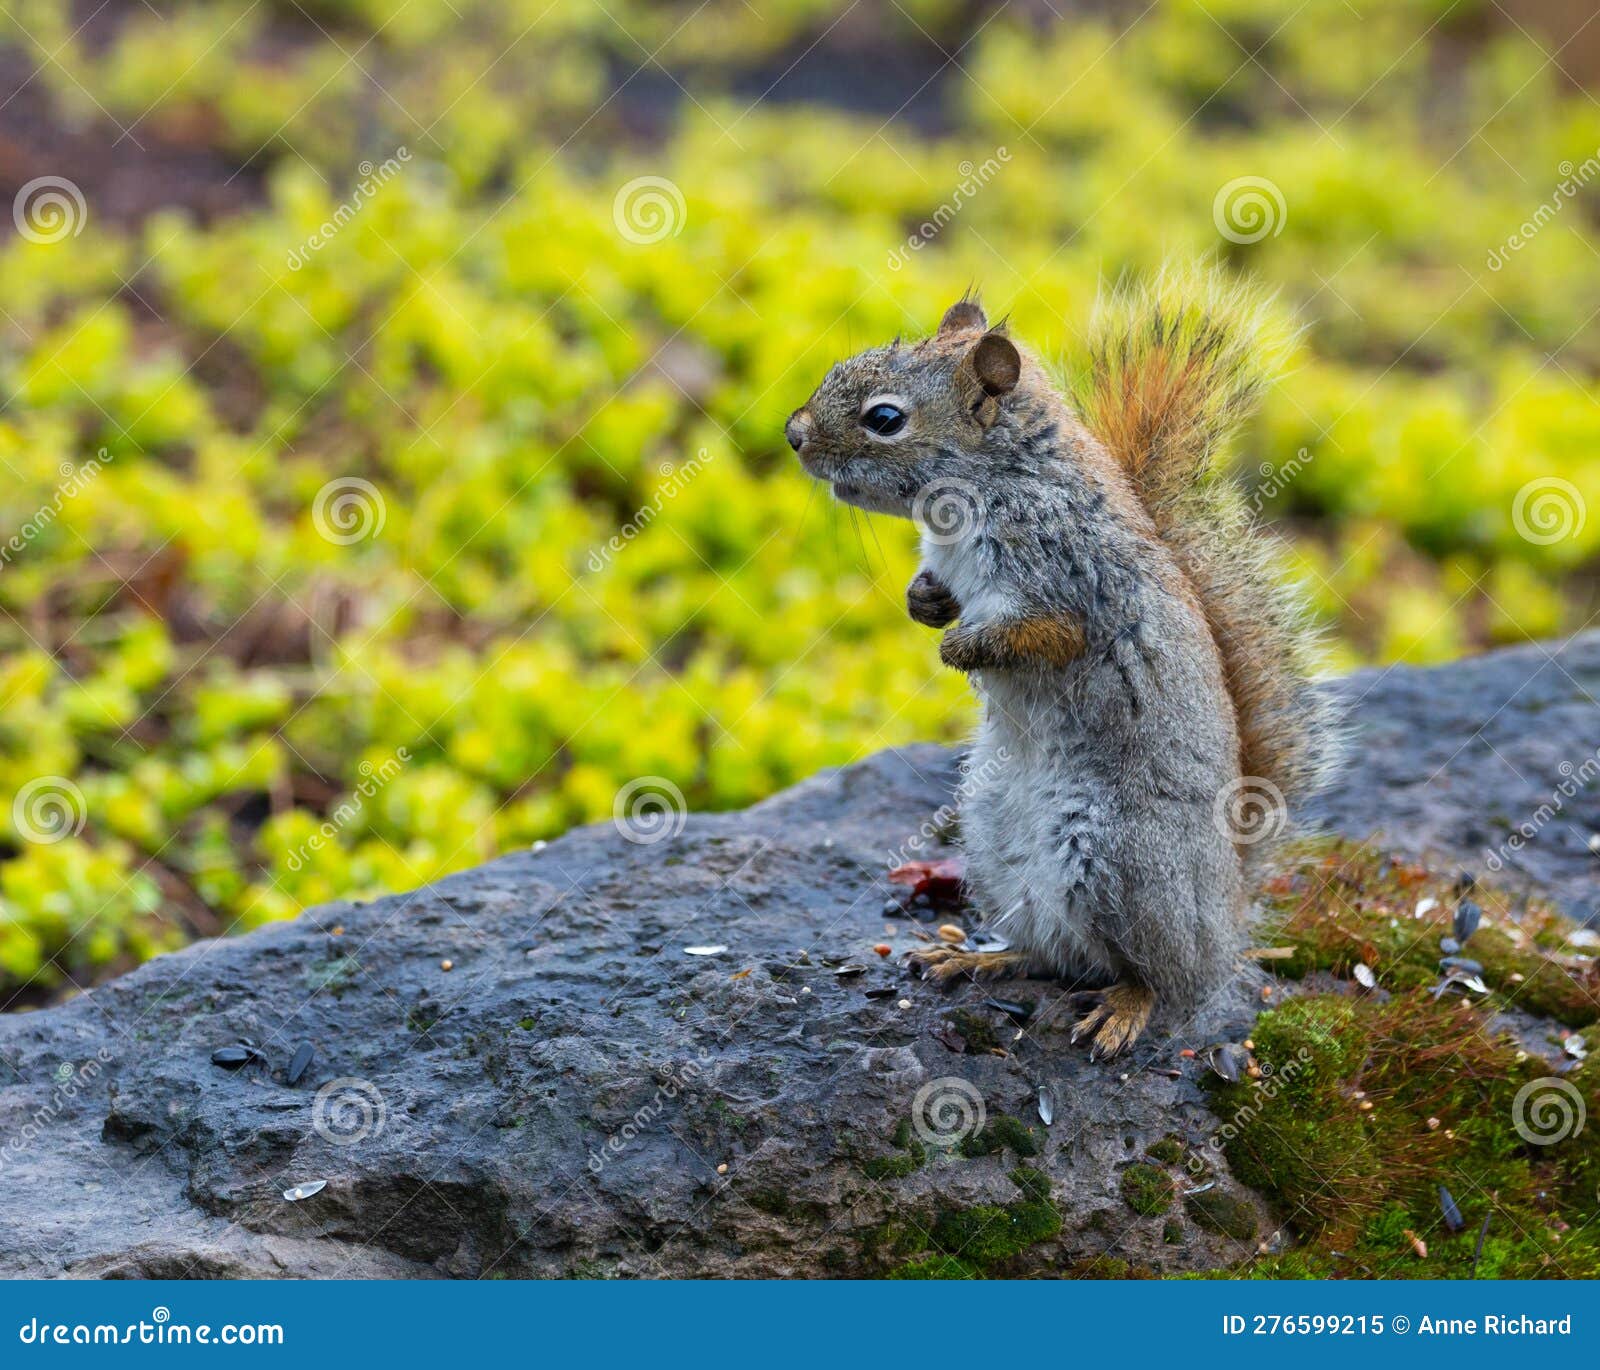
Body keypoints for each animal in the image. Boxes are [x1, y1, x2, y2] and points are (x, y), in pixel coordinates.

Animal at [786, 265, 1339, 1058]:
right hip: (992, 842)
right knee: (1058, 952)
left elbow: (1046, 636)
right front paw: (927, 604)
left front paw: (963, 648)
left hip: (1117, 858)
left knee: (1150, 973)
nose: (793, 434)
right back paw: (981, 957)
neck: (992, 484)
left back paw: (1126, 1008)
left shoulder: (1074, 584)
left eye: (884, 418)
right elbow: (937, 592)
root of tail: (1227, 911)